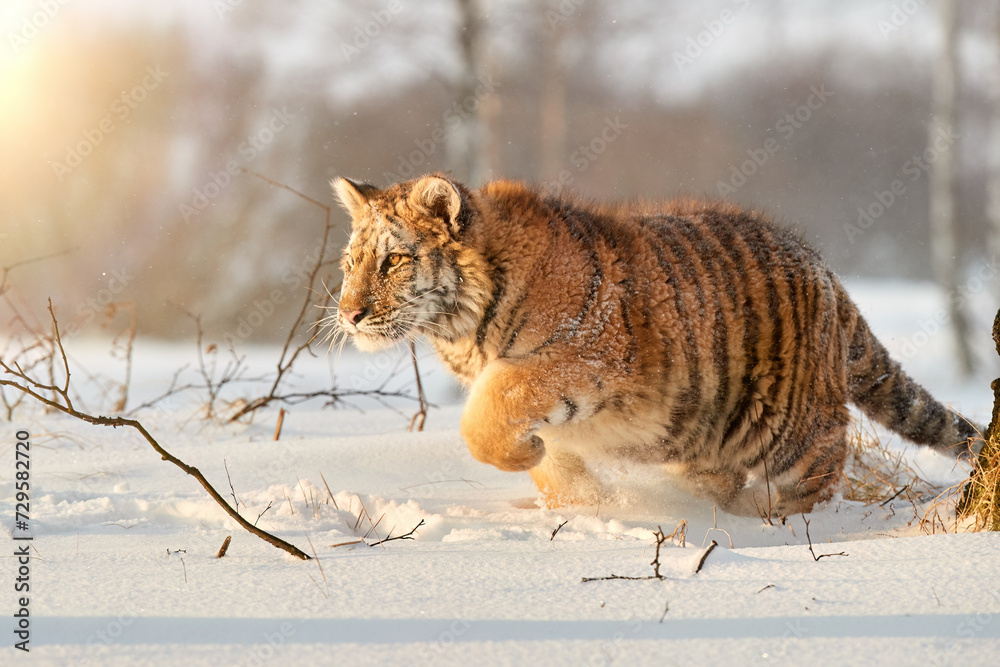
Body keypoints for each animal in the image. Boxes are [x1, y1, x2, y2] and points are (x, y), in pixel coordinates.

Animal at [326, 172, 981, 517]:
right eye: (351, 262)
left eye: (393, 261)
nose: (349, 314)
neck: (460, 332)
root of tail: (825, 272)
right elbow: (558, 465)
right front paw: (584, 504)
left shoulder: (578, 357)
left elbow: (491, 411)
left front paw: (524, 454)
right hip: (707, 430)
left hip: (793, 428)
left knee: (823, 465)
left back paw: (772, 523)